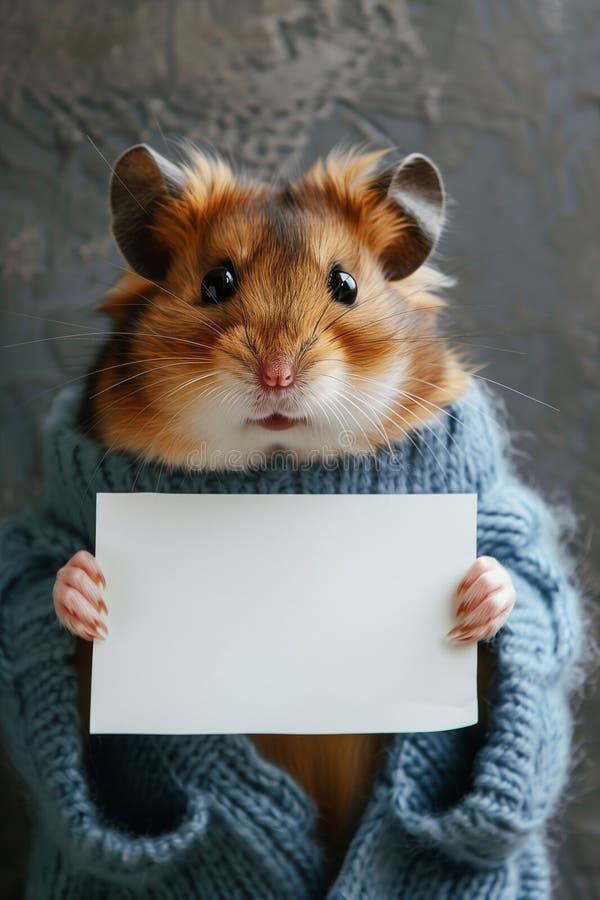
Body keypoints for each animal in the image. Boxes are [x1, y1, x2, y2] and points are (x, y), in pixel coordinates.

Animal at [52, 144, 515, 864]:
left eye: (345, 284)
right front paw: (87, 591)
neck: (278, 466)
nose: (276, 377)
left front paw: (478, 595)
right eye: (216, 282)